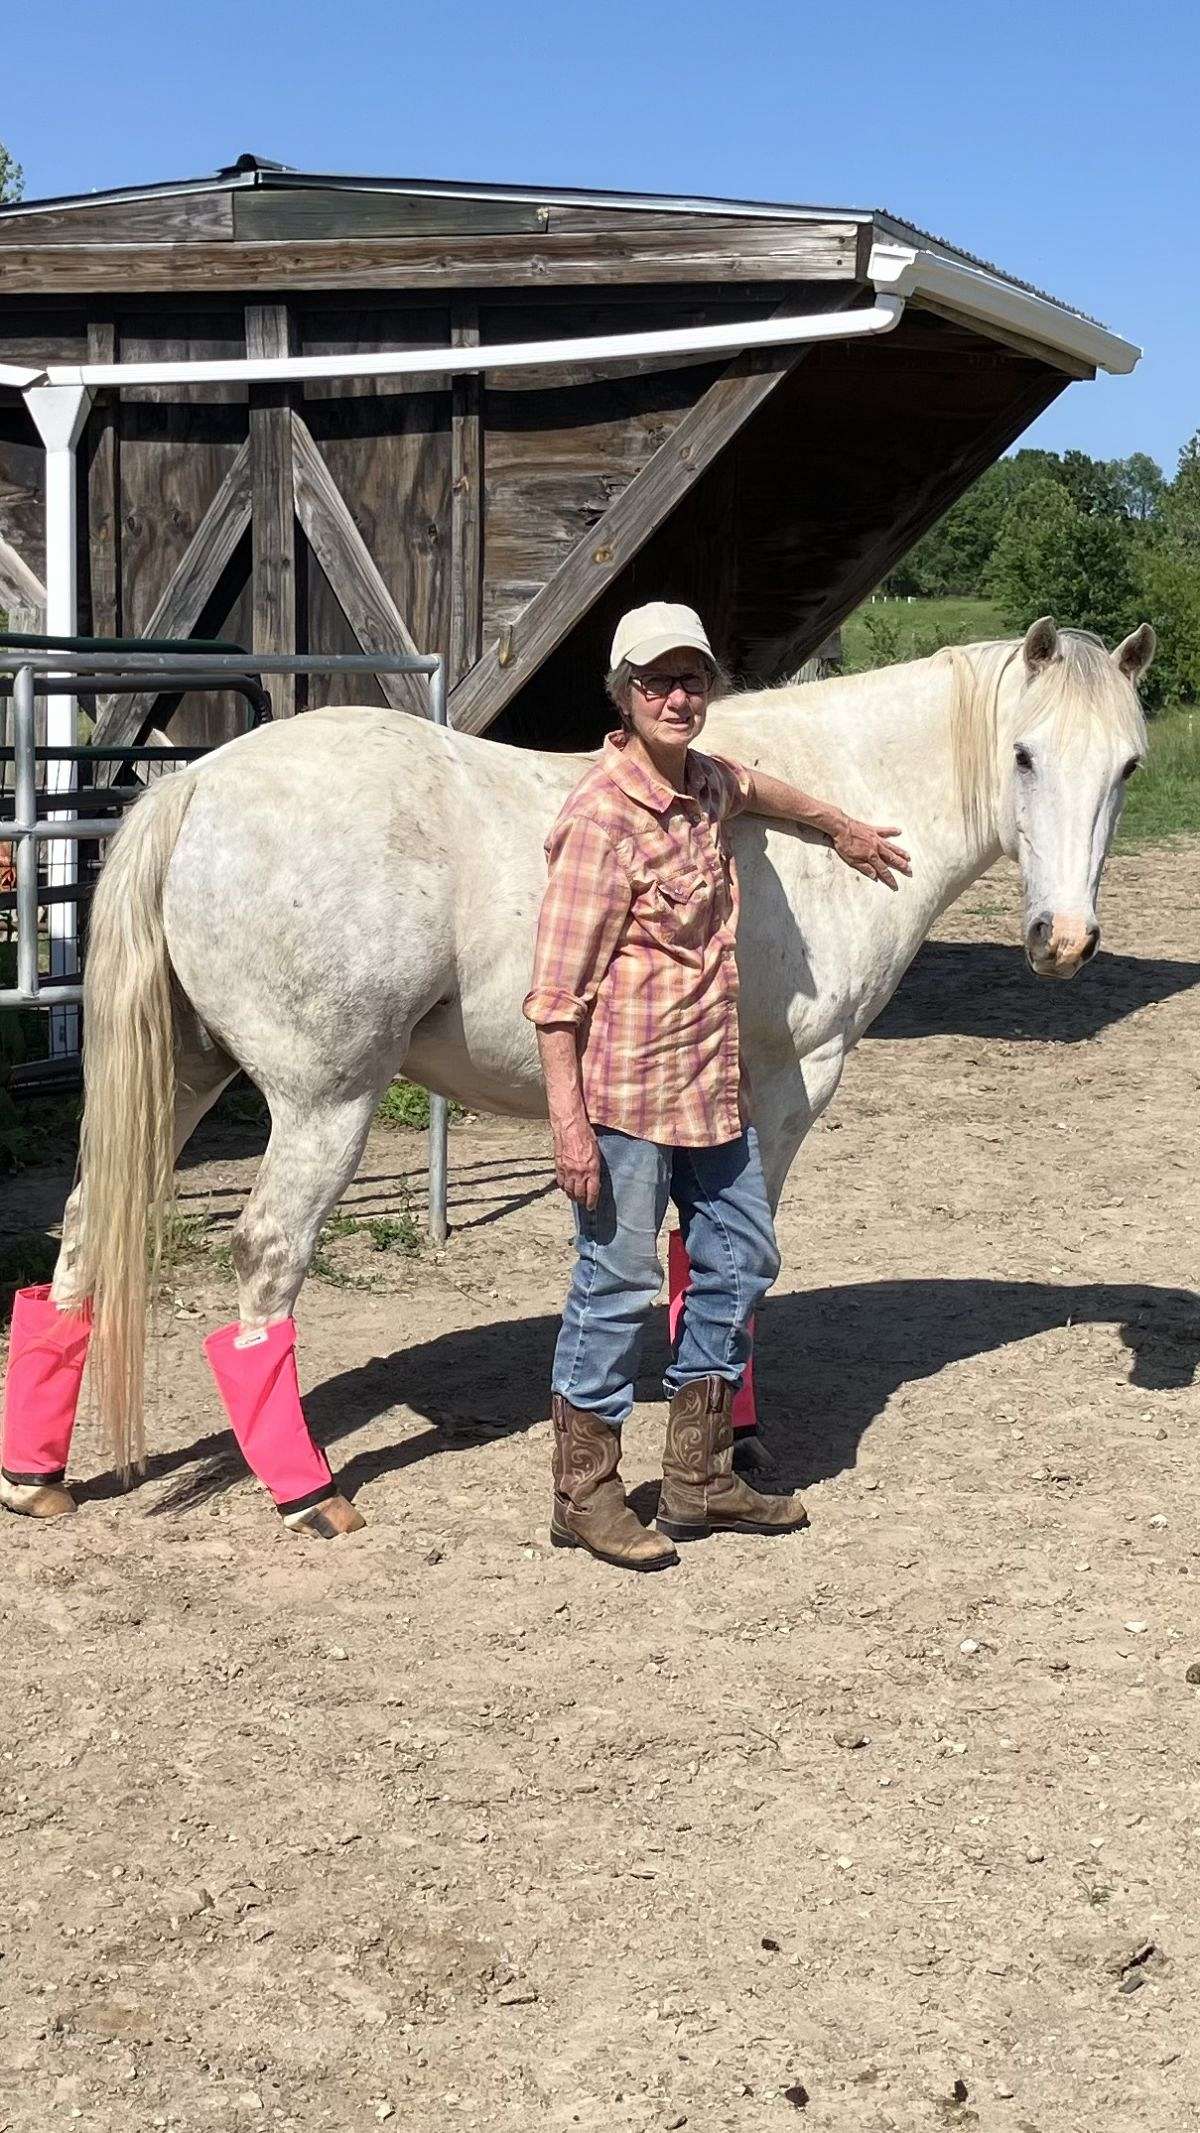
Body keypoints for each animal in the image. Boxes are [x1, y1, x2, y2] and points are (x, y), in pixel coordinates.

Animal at [0, 616, 1154, 1532]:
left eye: (1129, 767)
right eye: (1024, 755)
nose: (1063, 940)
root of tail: (198, 785)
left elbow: (695, 1261)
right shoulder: (788, 1089)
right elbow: (744, 1262)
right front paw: (737, 1437)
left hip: (184, 1079)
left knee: (84, 1235)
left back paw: (39, 1477)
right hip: (324, 1104)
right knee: (268, 1259)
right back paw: (309, 1493)